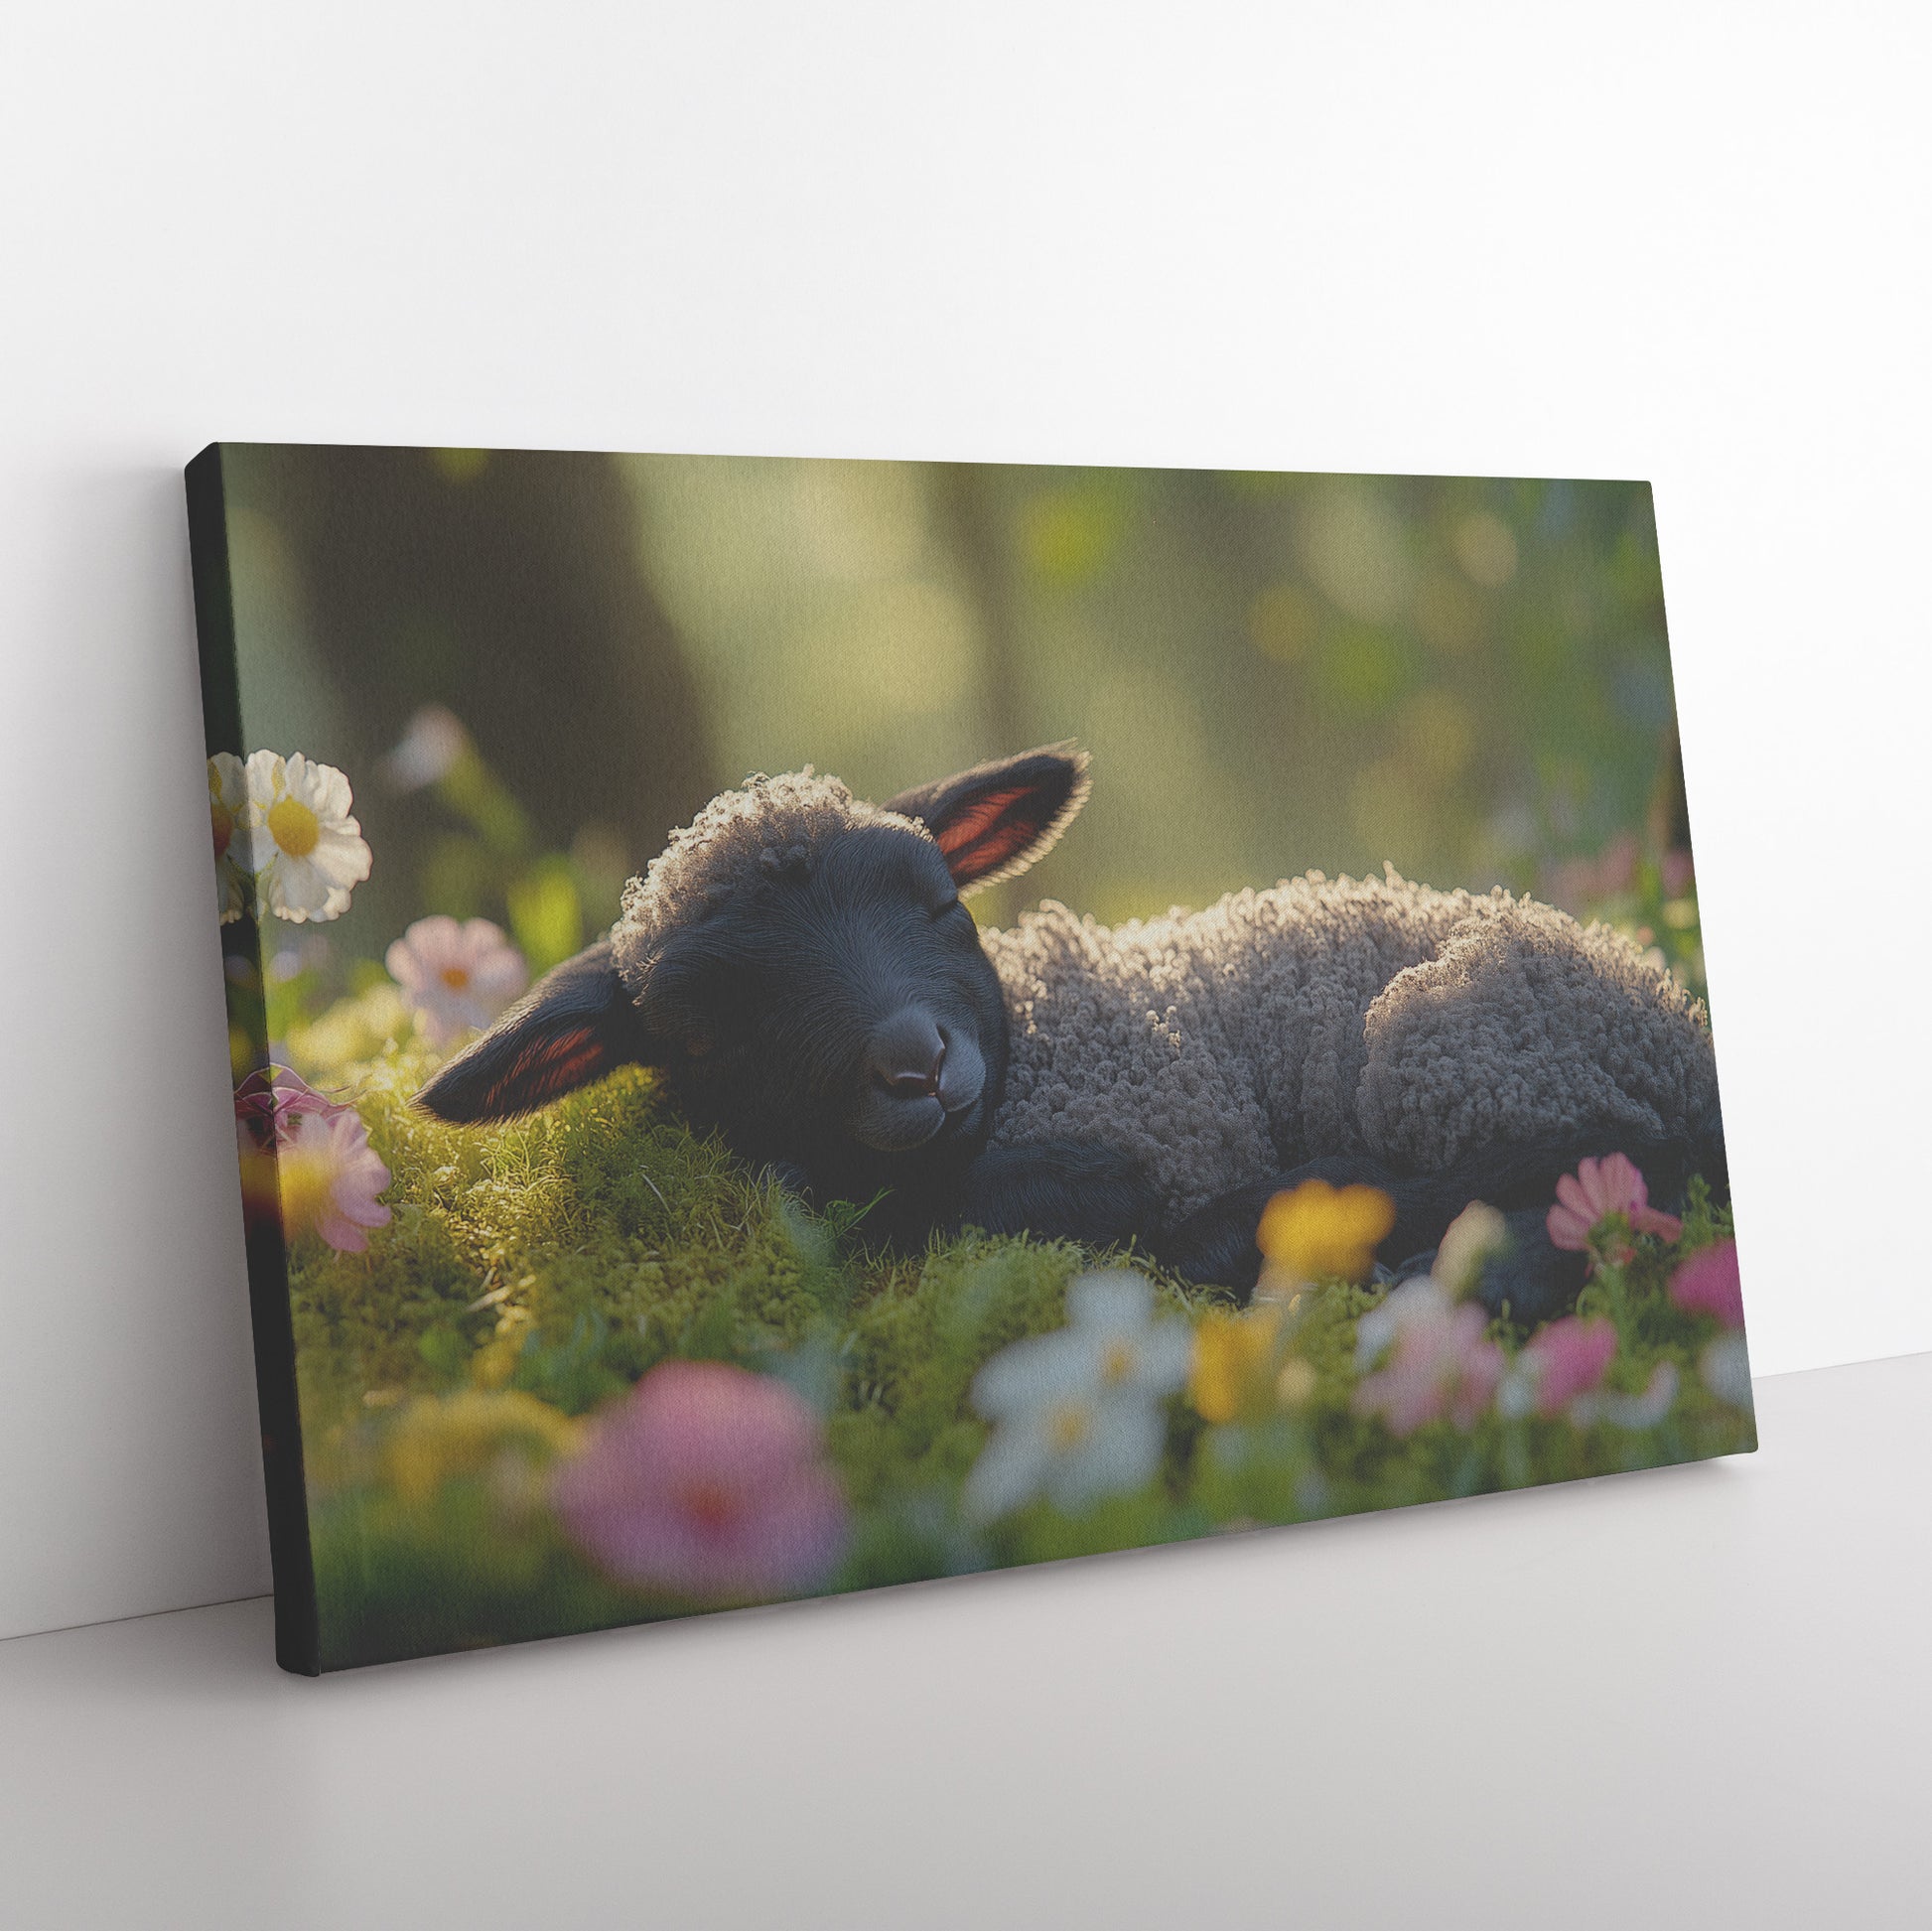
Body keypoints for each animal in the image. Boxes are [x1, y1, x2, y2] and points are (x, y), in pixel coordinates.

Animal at [418, 745, 1726, 1312]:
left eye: (939, 902)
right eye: (703, 1033)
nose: (916, 1063)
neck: (1039, 1056)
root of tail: (1670, 1018)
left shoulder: (1161, 1131)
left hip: (1449, 1043)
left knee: (1622, 1164)